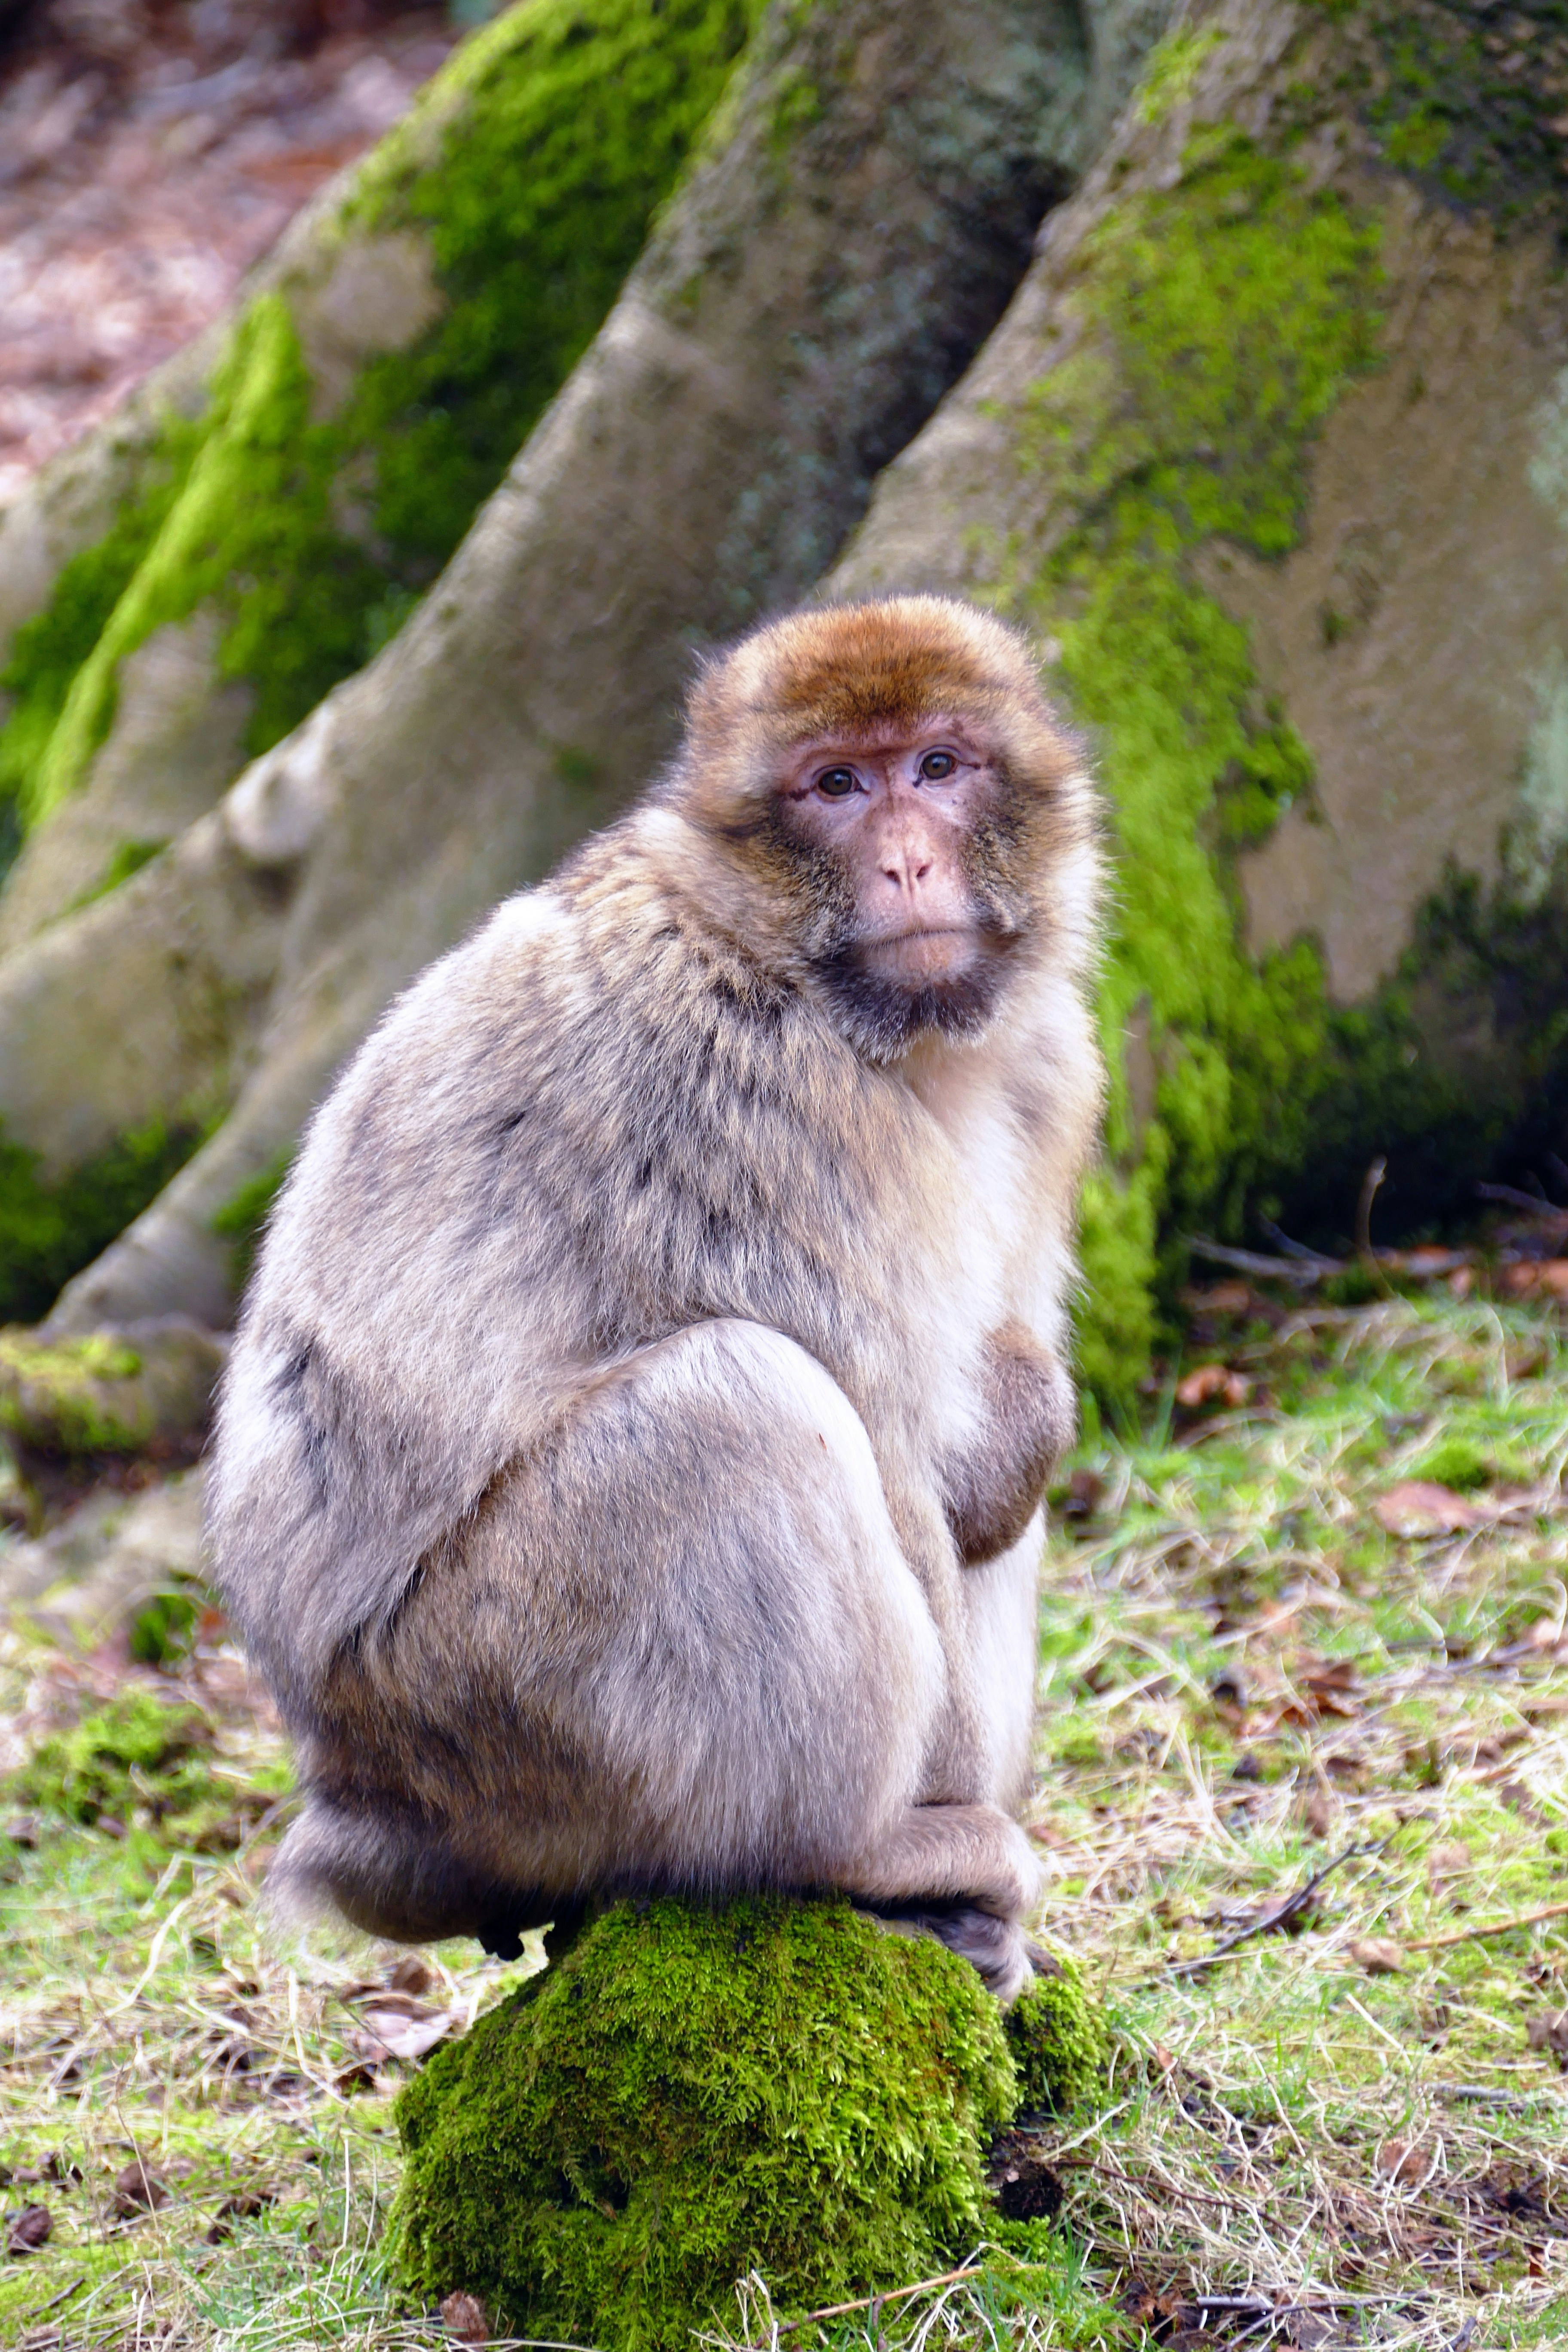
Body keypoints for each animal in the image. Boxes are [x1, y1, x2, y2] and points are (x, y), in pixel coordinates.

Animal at [207, 594, 1103, 2003]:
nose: (906, 862)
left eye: (937, 766)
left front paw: (1022, 1411)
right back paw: (870, 1844)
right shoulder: (768, 1106)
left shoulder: (1052, 1071)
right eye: (836, 786)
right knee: (735, 1402)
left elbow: (989, 1436)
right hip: (499, 1697)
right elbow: (901, 1461)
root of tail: (359, 1805)